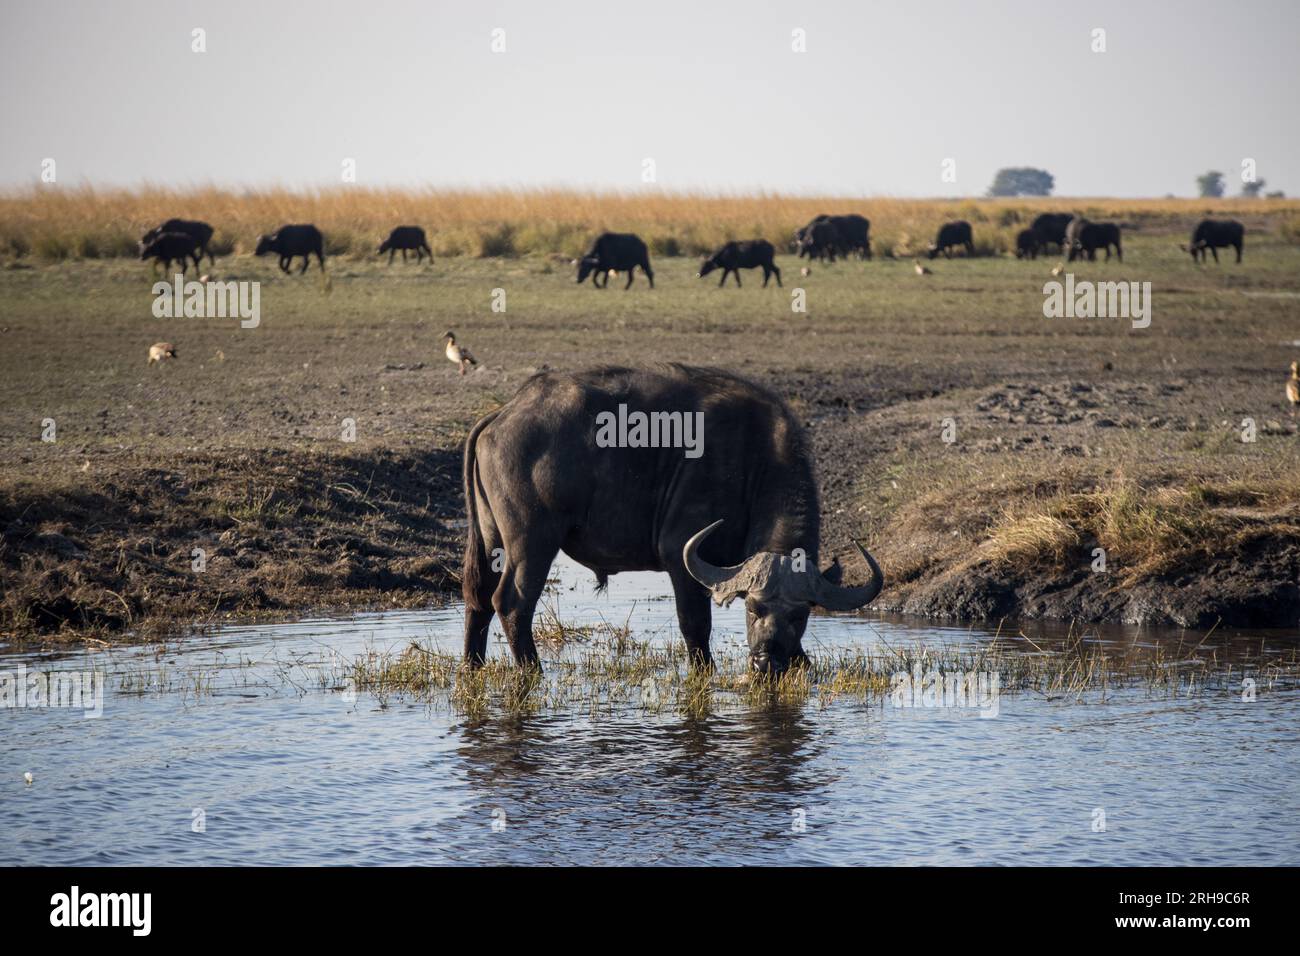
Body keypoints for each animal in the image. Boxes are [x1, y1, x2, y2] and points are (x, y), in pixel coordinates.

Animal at [460, 365, 884, 675]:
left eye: (800, 615)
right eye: (753, 609)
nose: (766, 662)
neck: (755, 464)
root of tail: (504, 413)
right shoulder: (682, 560)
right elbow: (696, 626)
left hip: (490, 539)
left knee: (478, 596)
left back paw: (472, 666)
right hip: (533, 542)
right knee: (513, 602)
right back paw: (532, 671)